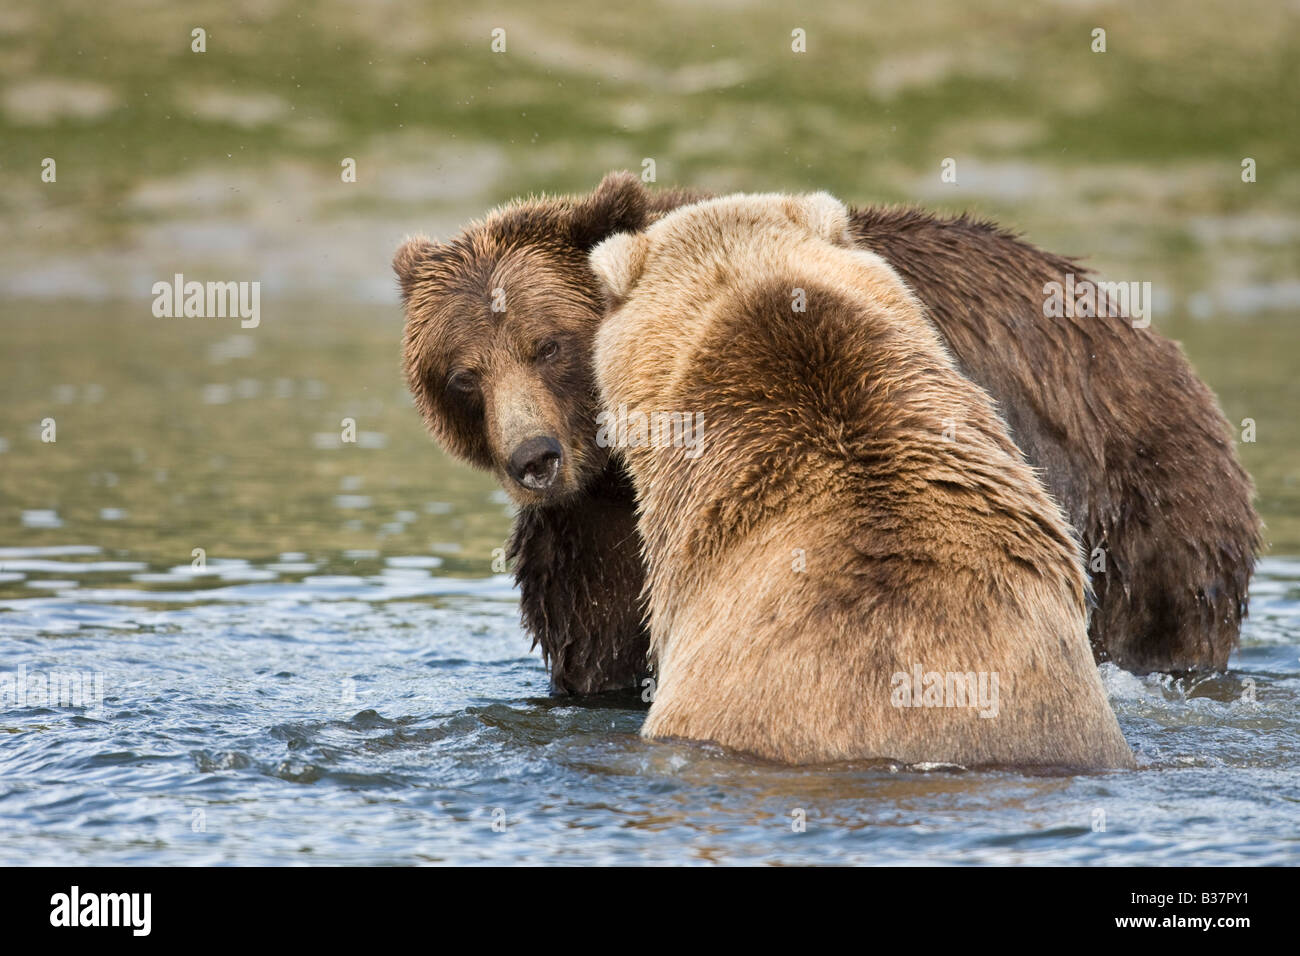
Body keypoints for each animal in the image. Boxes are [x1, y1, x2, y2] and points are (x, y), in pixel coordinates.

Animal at [394, 171, 1258, 695]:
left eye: (546, 344)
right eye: (463, 374)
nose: (533, 458)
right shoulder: (591, 533)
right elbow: (598, 642)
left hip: (1145, 505)